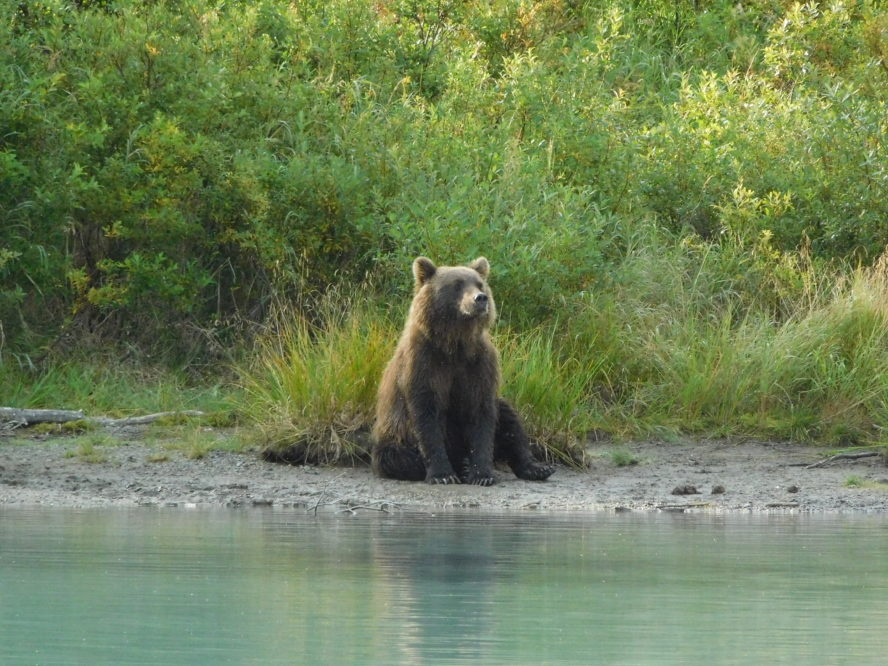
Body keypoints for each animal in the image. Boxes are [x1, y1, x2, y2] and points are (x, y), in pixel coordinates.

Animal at [371, 256, 555, 485]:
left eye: (479, 284)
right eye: (457, 285)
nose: (480, 298)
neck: (455, 344)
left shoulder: (479, 365)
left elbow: (481, 415)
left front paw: (481, 474)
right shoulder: (424, 364)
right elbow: (427, 416)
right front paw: (443, 475)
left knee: (509, 419)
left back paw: (536, 468)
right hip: (393, 437)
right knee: (397, 458)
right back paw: (460, 465)